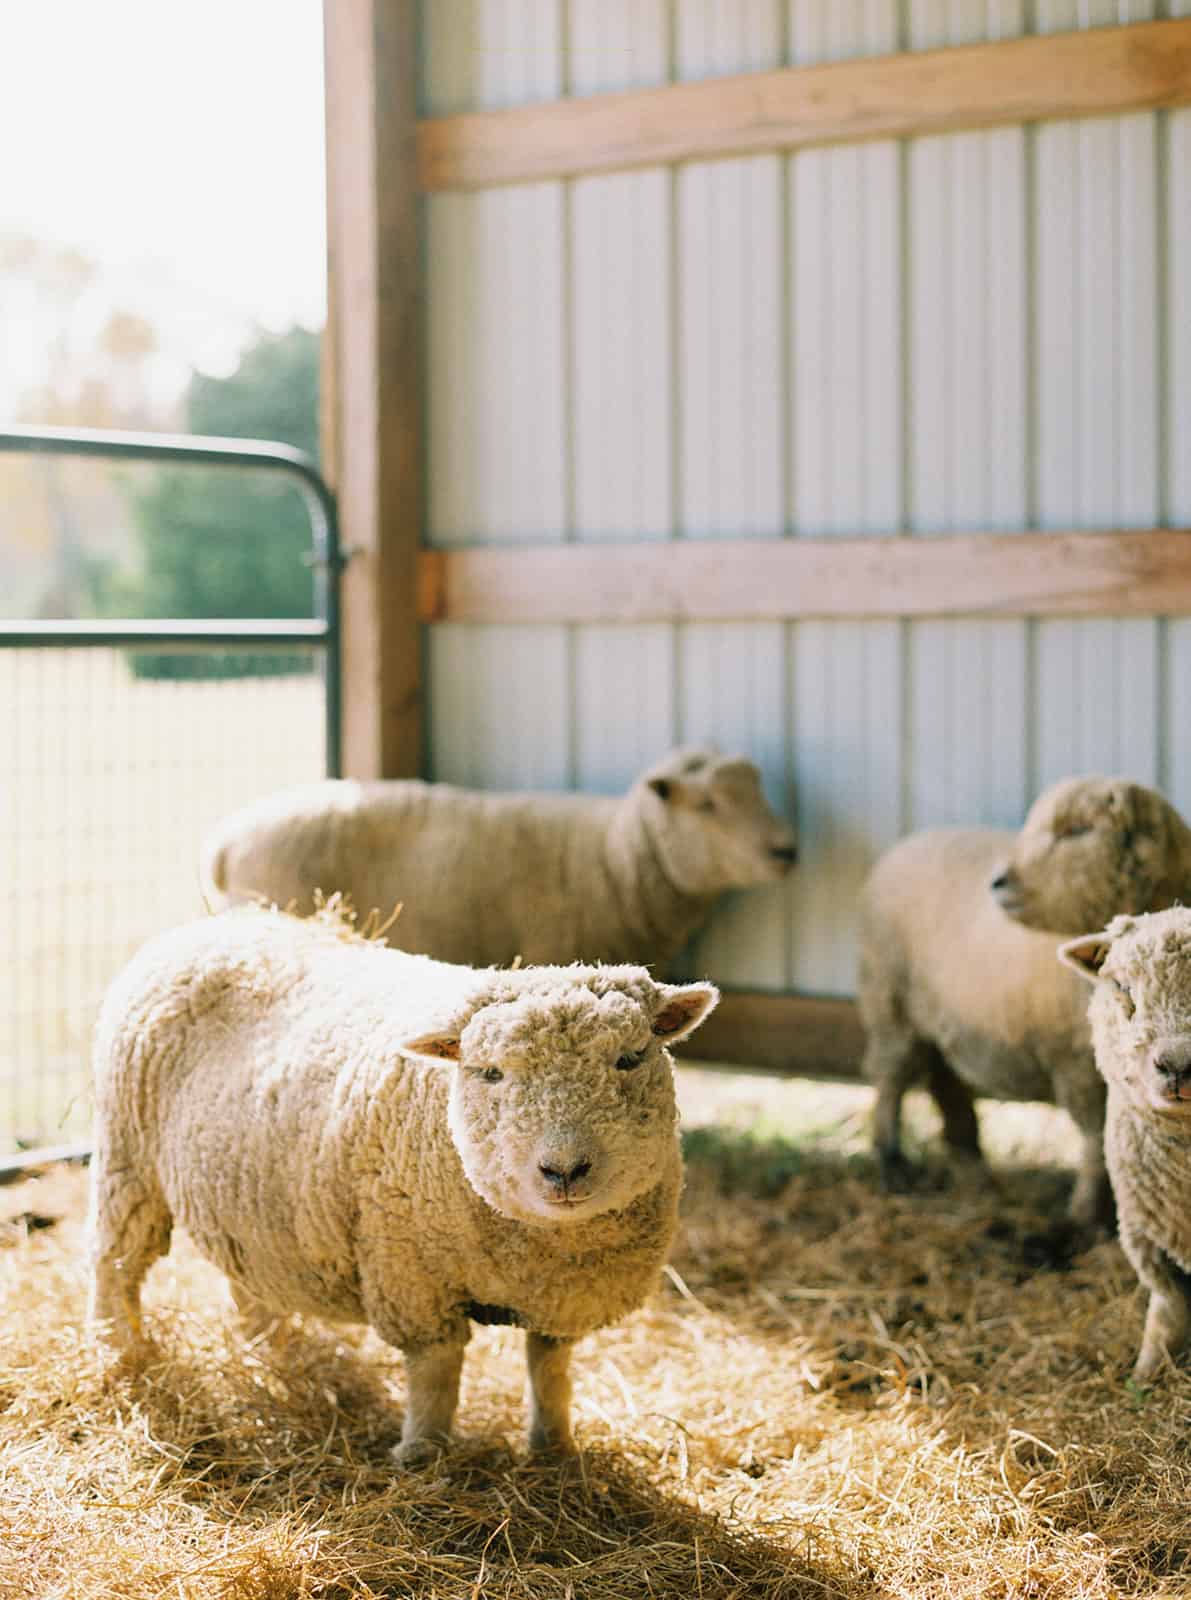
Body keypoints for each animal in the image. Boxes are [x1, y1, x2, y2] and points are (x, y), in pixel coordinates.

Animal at [86, 905, 718, 1462]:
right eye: (490, 1073)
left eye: (630, 1058)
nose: (563, 1169)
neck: (539, 1247)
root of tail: (215, 922)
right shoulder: (411, 1273)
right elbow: (437, 1372)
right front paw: (423, 1454)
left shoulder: (561, 1303)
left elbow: (548, 1368)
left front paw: (555, 1449)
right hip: (127, 1158)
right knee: (115, 1264)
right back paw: (119, 1353)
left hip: (252, 1201)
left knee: (248, 1279)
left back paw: (270, 1349)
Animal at [858, 777, 1191, 1226]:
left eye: (1078, 830)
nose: (999, 881)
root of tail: (906, 843)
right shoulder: (1075, 1064)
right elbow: (1094, 1135)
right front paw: (1089, 1214)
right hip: (889, 1000)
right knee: (891, 1080)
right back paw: (893, 1164)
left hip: (942, 1012)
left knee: (944, 1079)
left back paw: (969, 1157)